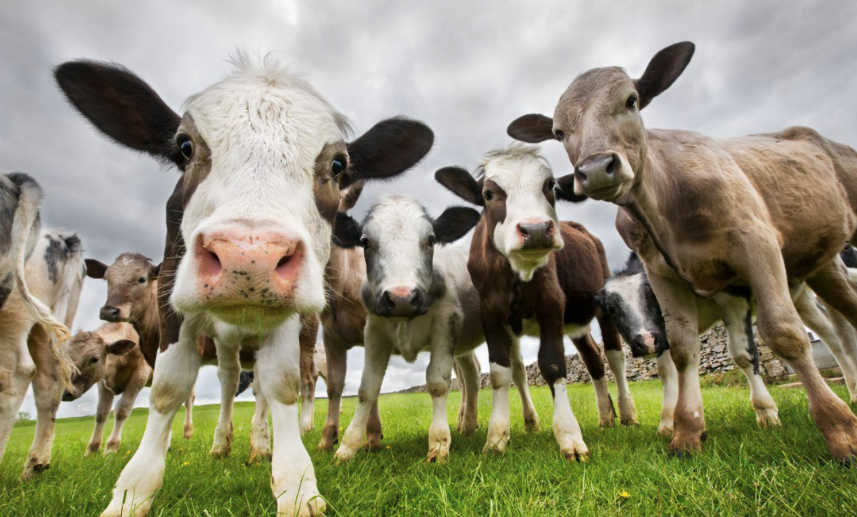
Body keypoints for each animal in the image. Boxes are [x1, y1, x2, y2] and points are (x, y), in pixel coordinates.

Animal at [61, 322, 143, 454]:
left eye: (94, 359)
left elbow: (122, 411)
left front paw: (111, 447)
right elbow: (101, 413)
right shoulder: (103, 381)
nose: (65, 393)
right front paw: (91, 450)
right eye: (66, 357)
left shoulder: (139, 375)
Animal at [331, 196, 490, 462]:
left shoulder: (446, 321)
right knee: (472, 374)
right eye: (365, 241)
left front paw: (438, 444)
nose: (402, 297)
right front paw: (347, 447)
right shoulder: (374, 330)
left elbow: (438, 382)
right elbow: (367, 388)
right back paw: (467, 425)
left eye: (431, 239)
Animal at [435, 145, 637, 462]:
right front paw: (496, 437)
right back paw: (606, 416)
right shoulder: (490, 313)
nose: (537, 229)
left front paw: (570, 437)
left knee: (615, 355)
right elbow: (499, 372)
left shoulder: (551, 304)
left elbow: (553, 364)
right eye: (488, 193)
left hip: (604, 303)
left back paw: (626, 413)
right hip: (576, 320)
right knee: (593, 357)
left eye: (550, 185)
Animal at [599, 253, 857, 434]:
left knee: (835, 336)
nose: (645, 342)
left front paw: (766, 412)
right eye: (611, 309)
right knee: (829, 336)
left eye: (653, 295)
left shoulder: (731, 296)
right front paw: (667, 422)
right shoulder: (663, 333)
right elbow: (667, 371)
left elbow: (742, 354)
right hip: (799, 294)